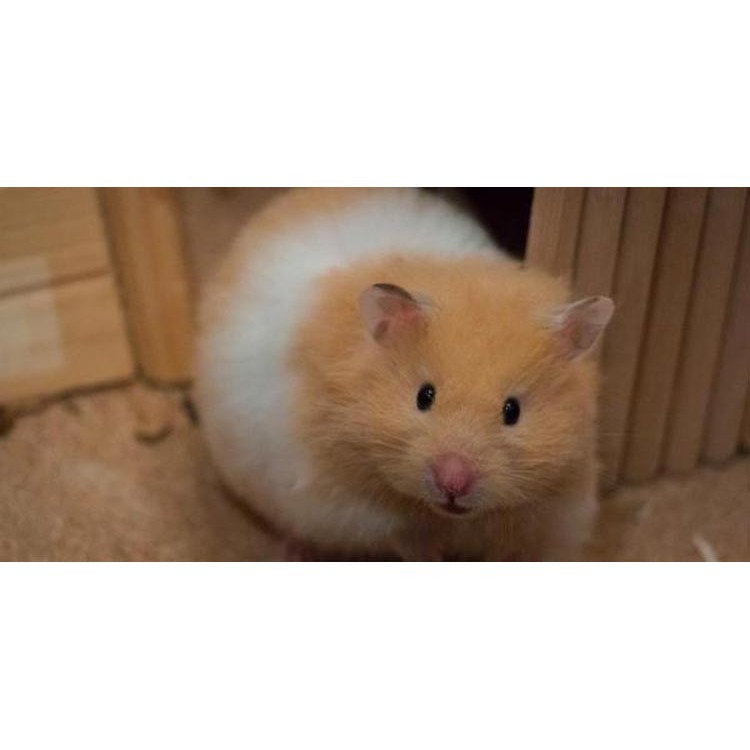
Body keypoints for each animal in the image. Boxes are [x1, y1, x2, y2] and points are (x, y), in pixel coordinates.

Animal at [194, 188, 614, 561]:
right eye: (423, 396)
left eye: (513, 411)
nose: (453, 482)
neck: (449, 517)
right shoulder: (358, 512)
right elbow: (410, 542)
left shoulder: (546, 517)